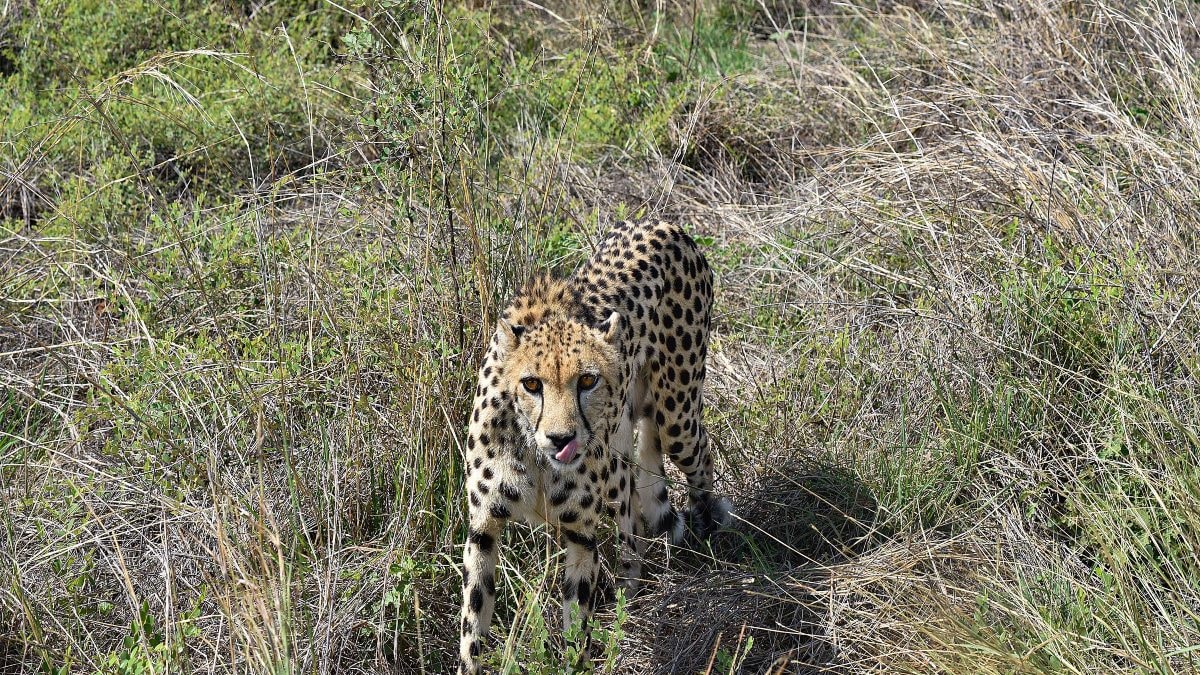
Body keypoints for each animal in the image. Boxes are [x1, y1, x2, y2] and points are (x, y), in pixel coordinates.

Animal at [458, 220, 731, 673]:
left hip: (677, 417)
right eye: (531, 384)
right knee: (633, 510)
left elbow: (576, 624)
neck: (537, 456)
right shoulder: (483, 528)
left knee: (699, 456)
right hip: (624, 450)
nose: (561, 438)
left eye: (587, 380)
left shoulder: (581, 536)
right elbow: (472, 625)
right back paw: (631, 593)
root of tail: (662, 223)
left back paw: (703, 529)